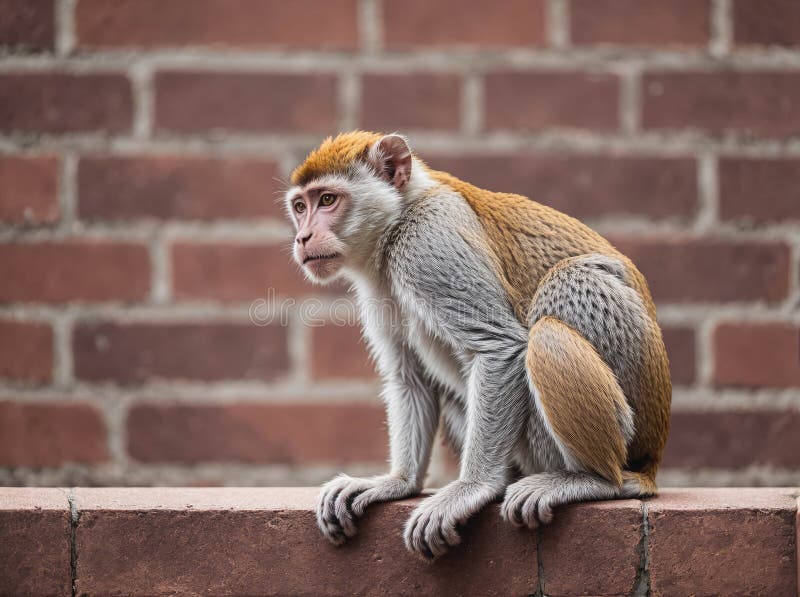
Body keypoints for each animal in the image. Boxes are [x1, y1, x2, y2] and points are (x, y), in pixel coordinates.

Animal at [284, 131, 671, 559]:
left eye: (327, 200)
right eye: (300, 207)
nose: (303, 237)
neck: (399, 218)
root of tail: (651, 459)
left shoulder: (428, 244)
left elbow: (498, 348)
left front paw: (471, 488)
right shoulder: (379, 285)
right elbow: (410, 379)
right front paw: (396, 482)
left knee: (562, 296)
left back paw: (594, 479)